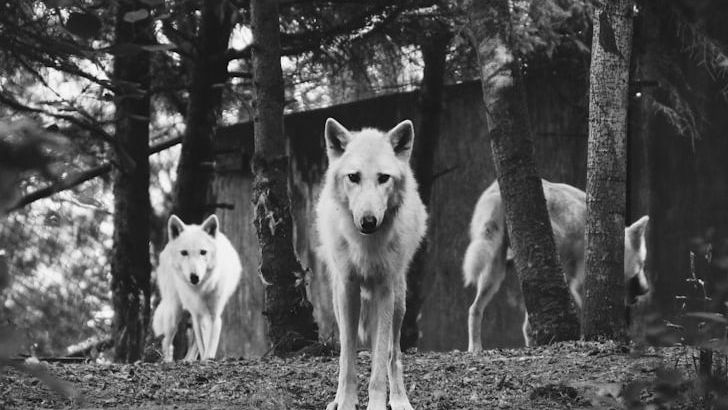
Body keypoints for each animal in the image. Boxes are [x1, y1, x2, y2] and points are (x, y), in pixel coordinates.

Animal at [152, 214, 242, 361]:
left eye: (203, 252)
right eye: (184, 252)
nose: (194, 277)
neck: (201, 289)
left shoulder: (214, 317)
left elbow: (209, 345)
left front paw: (208, 359)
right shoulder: (196, 316)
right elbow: (201, 344)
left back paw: (188, 360)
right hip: (174, 312)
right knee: (167, 342)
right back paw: (168, 361)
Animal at [316, 118, 427, 410]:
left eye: (383, 178)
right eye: (353, 177)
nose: (368, 221)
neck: (366, 245)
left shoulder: (385, 291)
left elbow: (379, 361)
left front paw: (377, 403)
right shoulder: (348, 291)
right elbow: (347, 359)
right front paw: (345, 402)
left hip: (398, 301)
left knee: (393, 353)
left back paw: (399, 399)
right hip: (338, 298)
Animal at [463, 179, 649, 351]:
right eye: (641, 263)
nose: (646, 290)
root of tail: (497, 191)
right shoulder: (578, 283)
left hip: (495, 271)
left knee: (475, 309)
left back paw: (476, 348)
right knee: (522, 322)